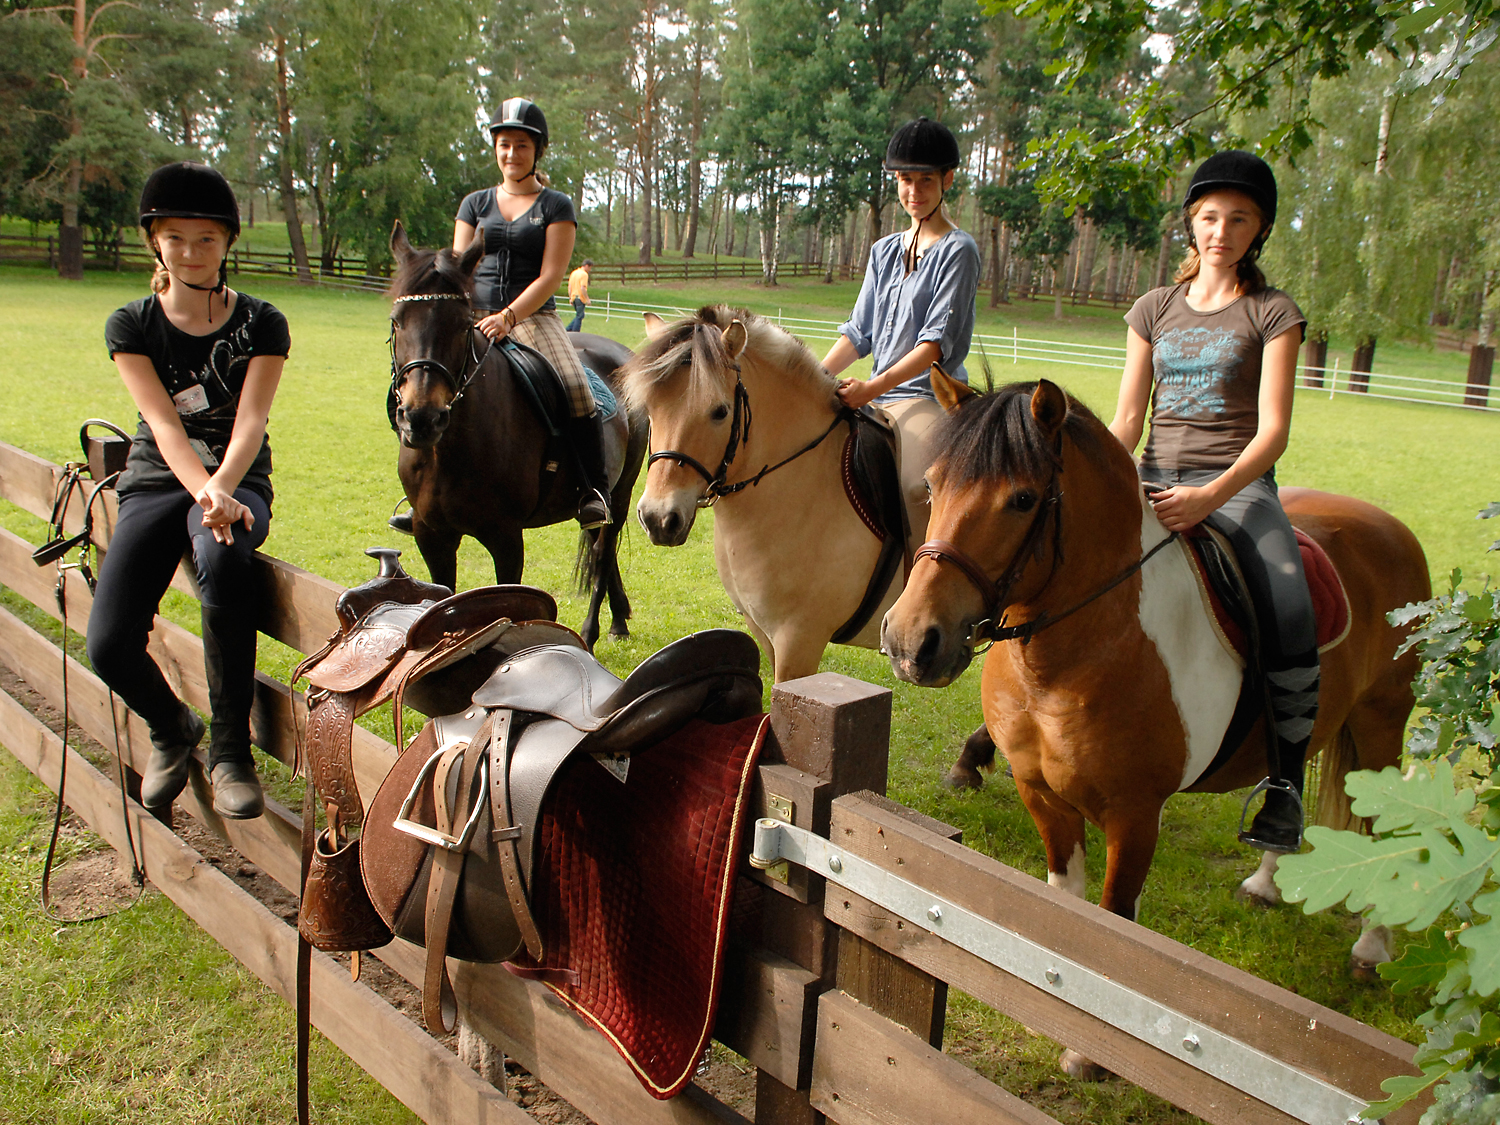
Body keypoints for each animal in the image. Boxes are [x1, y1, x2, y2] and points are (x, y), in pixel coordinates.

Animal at [387, 225, 645, 648]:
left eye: (462, 324)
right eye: (397, 321)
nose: (422, 419)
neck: (450, 451)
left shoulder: (506, 538)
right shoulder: (431, 535)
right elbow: (443, 599)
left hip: (620, 493)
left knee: (604, 552)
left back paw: (591, 632)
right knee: (599, 549)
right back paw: (619, 619)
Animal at [876, 379, 1428, 1074]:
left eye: (1022, 499)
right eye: (931, 485)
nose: (910, 642)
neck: (1078, 655)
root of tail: (1389, 525)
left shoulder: (1134, 815)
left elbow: (1115, 925)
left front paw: (1088, 1055)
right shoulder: (1041, 795)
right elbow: (1061, 906)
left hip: (1383, 720)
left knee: (1389, 827)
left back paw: (1372, 949)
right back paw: (1266, 879)